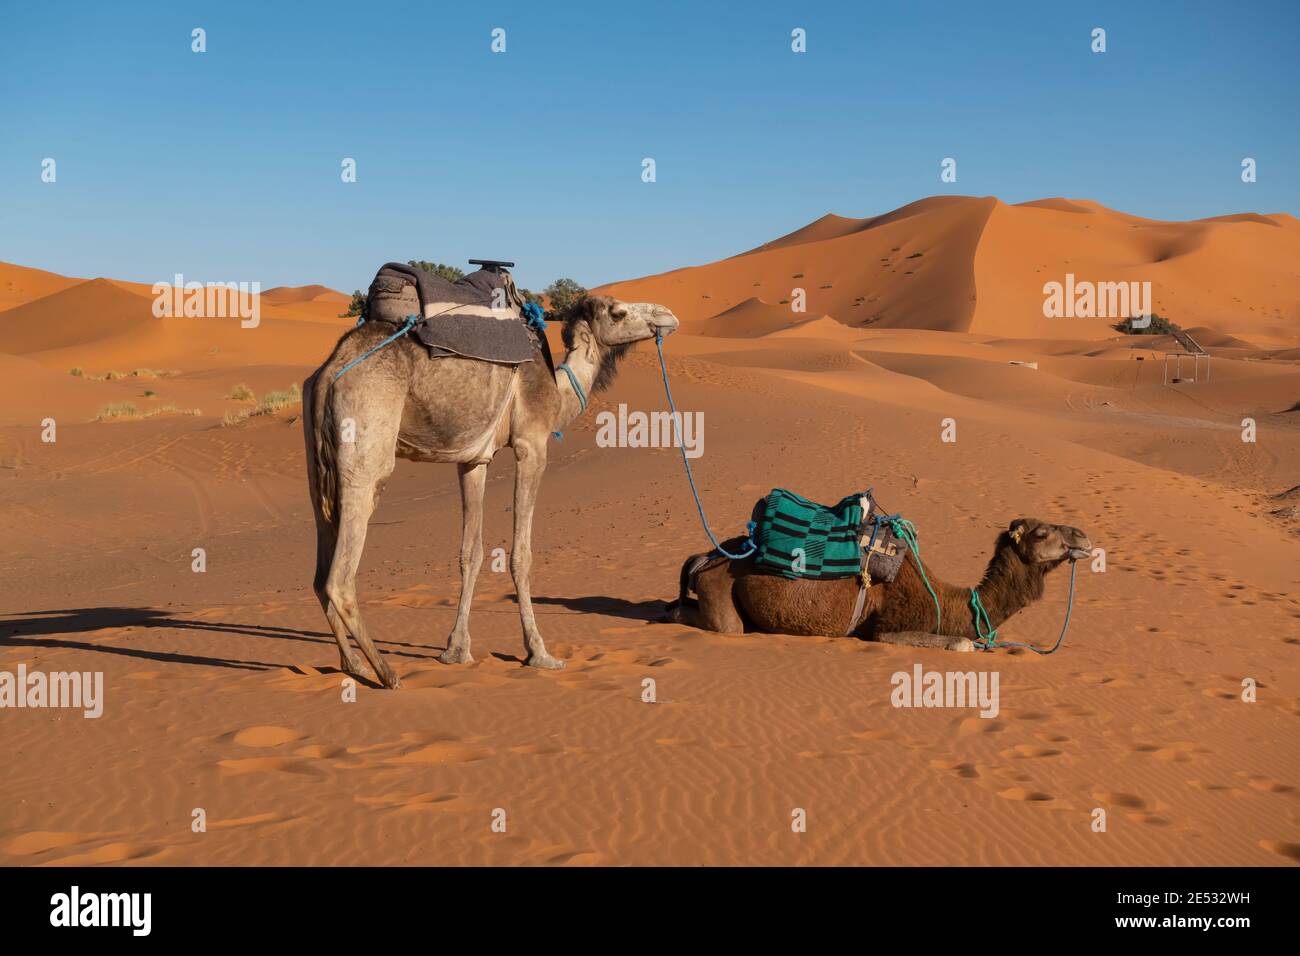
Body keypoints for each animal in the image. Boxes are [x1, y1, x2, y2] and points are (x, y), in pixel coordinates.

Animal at [303, 294, 679, 687]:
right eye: (618, 312)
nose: (668, 316)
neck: (557, 392)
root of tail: (331, 369)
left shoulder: (474, 460)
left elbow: (471, 552)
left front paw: (456, 650)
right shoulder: (532, 444)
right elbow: (521, 554)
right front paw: (540, 653)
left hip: (318, 468)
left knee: (319, 573)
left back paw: (354, 665)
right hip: (365, 446)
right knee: (339, 577)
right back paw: (387, 673)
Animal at [664, 518, 1090, 651]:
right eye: (1041, 533)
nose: (1083, 537)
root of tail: (707, 557)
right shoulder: (886, 629)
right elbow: (963, 643)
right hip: (721, 591)